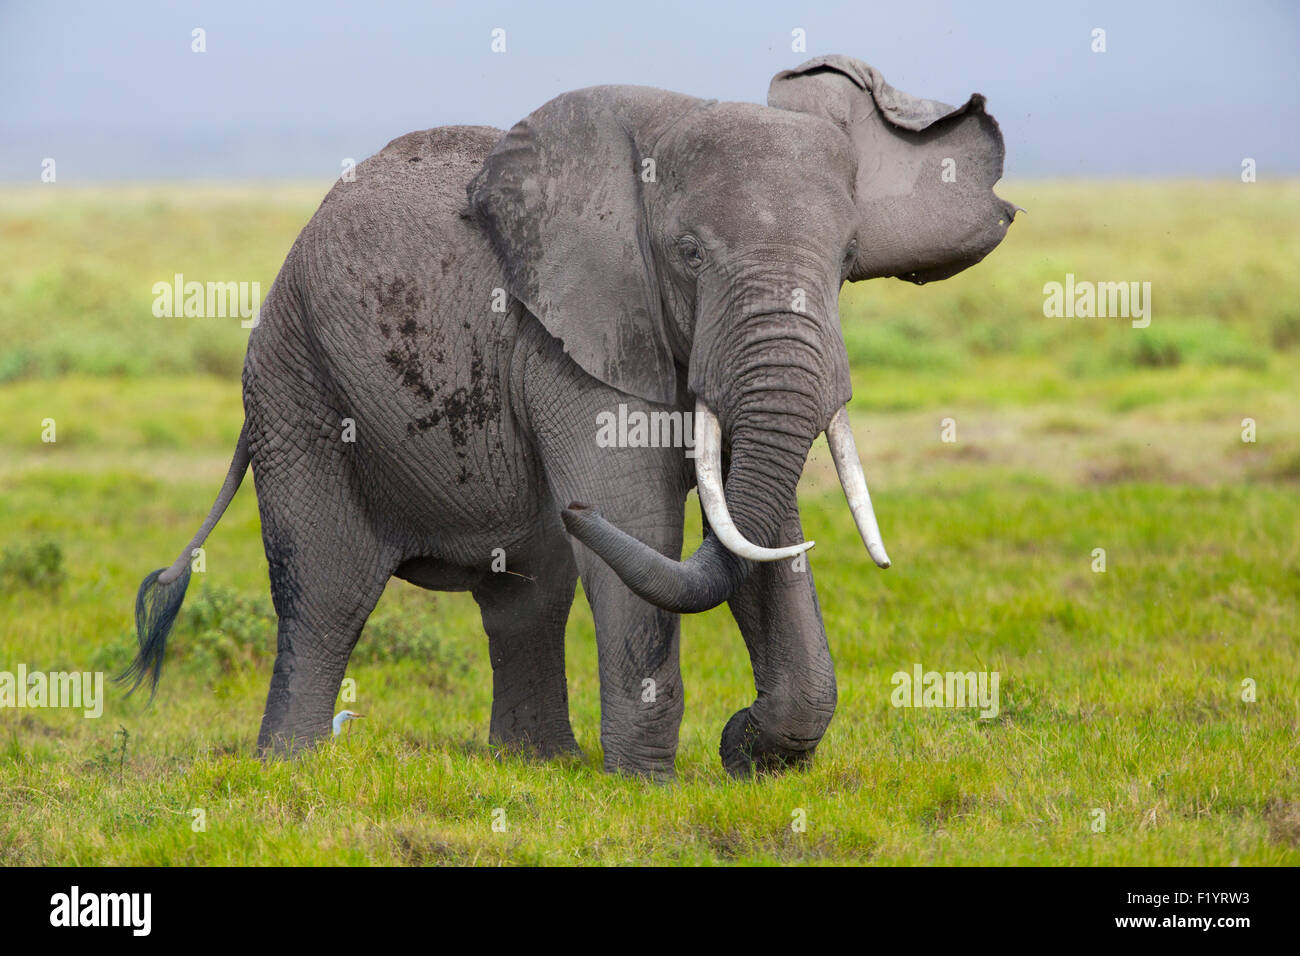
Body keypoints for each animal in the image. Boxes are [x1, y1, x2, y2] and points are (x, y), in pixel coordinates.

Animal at [124, 55, 1016, 779]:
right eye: (689, 254)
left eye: (847, 260)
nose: (736, 738)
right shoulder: (568, 336)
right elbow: (641, 518)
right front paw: (651, 789)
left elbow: (749, 529)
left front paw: (748, 754)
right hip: (294, 382)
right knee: (325, 589)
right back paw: (290, 768)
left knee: (527, 594)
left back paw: (537, 764)